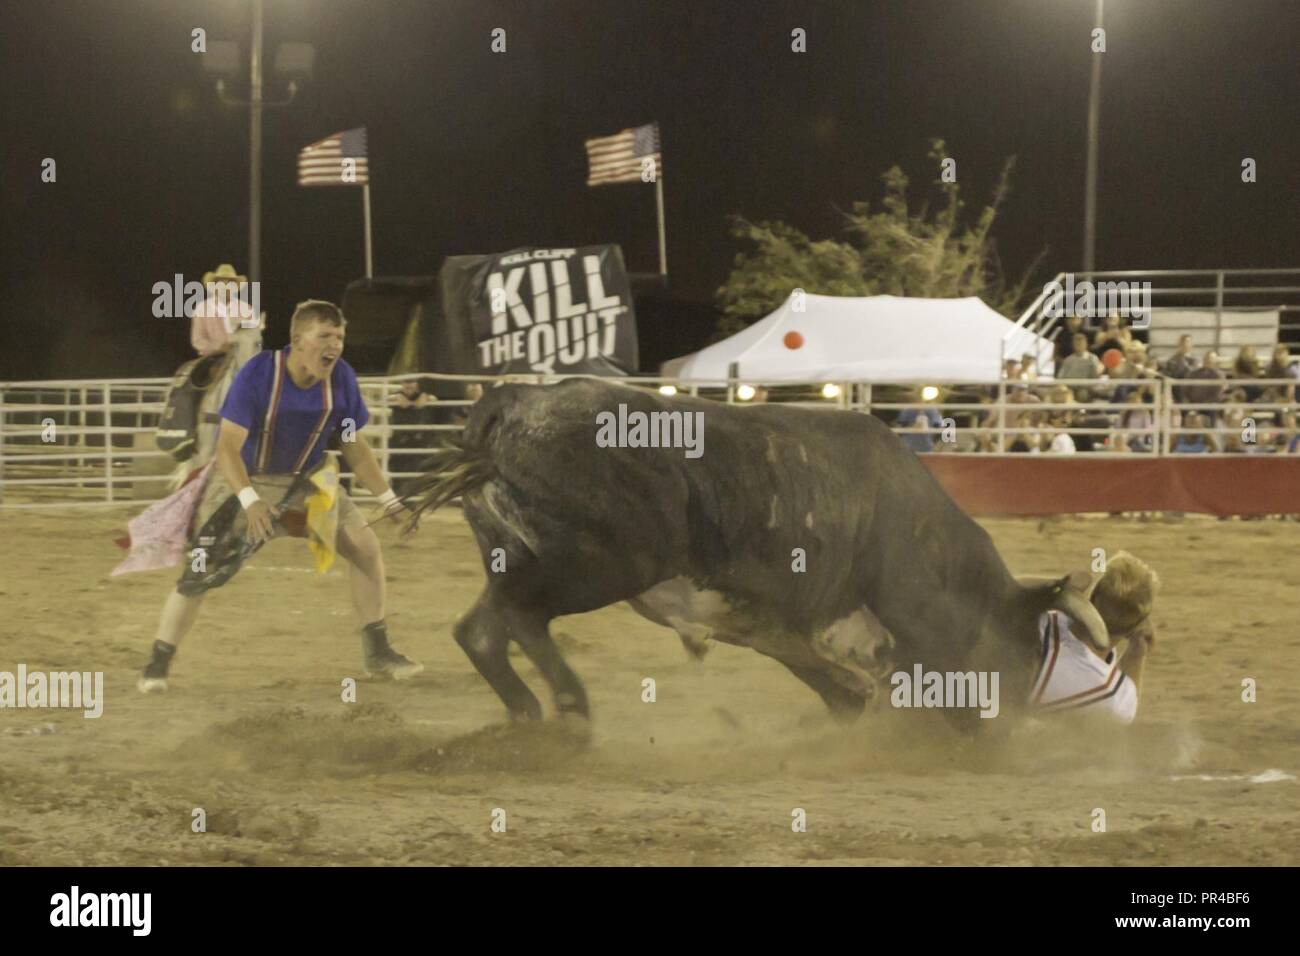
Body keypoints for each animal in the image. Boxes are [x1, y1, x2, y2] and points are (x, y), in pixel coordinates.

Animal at [404, 378, 1108, 727]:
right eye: (1027, 646)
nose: (1012, 729)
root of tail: (519, 402)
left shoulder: (773, 625)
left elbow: (840, 686)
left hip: (521, 558)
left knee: (482, 628)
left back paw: (527, 715)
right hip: (599, 567)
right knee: (518, 618)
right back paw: (571, 711)